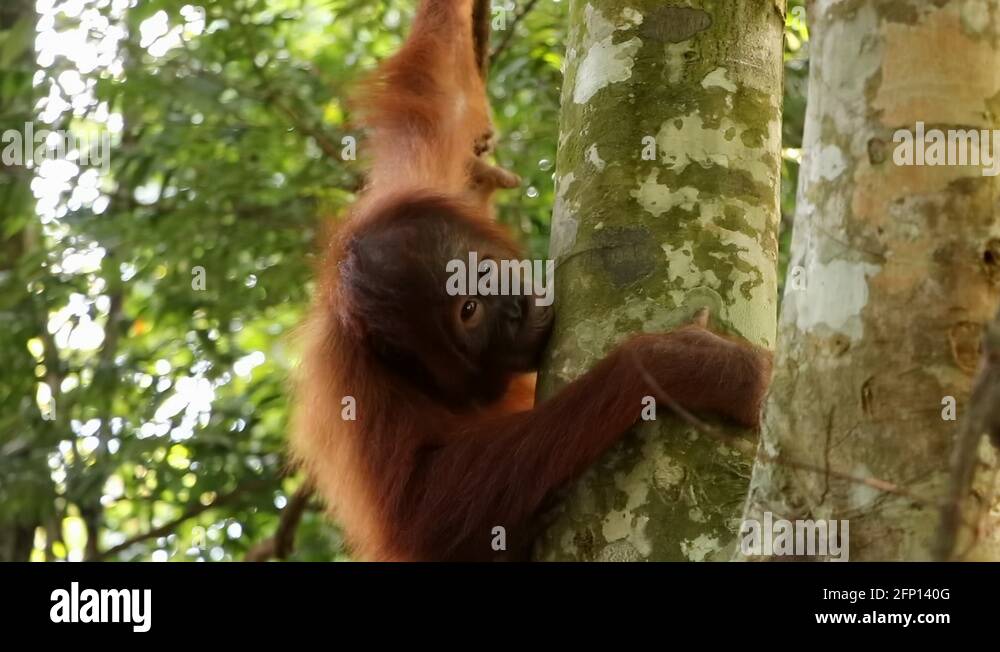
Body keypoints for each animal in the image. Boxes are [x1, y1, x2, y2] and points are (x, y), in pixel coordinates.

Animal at [289, 0, 773, 561]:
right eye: (469, 312)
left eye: (477, 272)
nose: (515, 309)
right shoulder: (350, 384)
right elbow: (419, 515)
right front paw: (683, 364)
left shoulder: (408, 191)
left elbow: (438, 90)